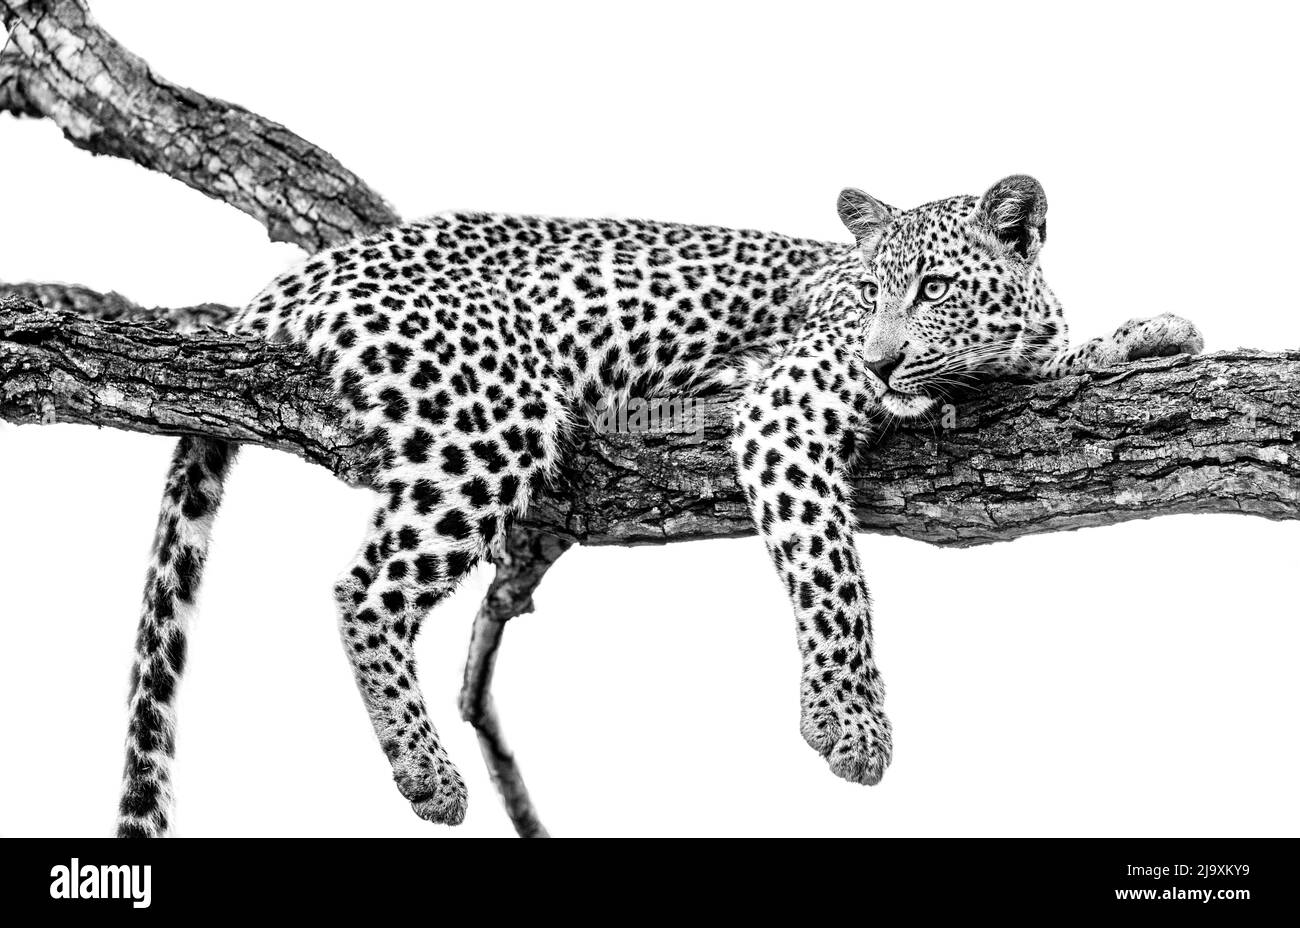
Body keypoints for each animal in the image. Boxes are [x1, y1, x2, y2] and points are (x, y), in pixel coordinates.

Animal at [113, 175, 1202, 835]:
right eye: (861, 294)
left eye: (932, 287)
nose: (882, 358)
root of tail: (294, 278)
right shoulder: (785, 406)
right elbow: (833, 574)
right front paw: (847, 721)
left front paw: (1145, 336)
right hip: (492, 413)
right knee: (364, 590)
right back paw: (429, 772)